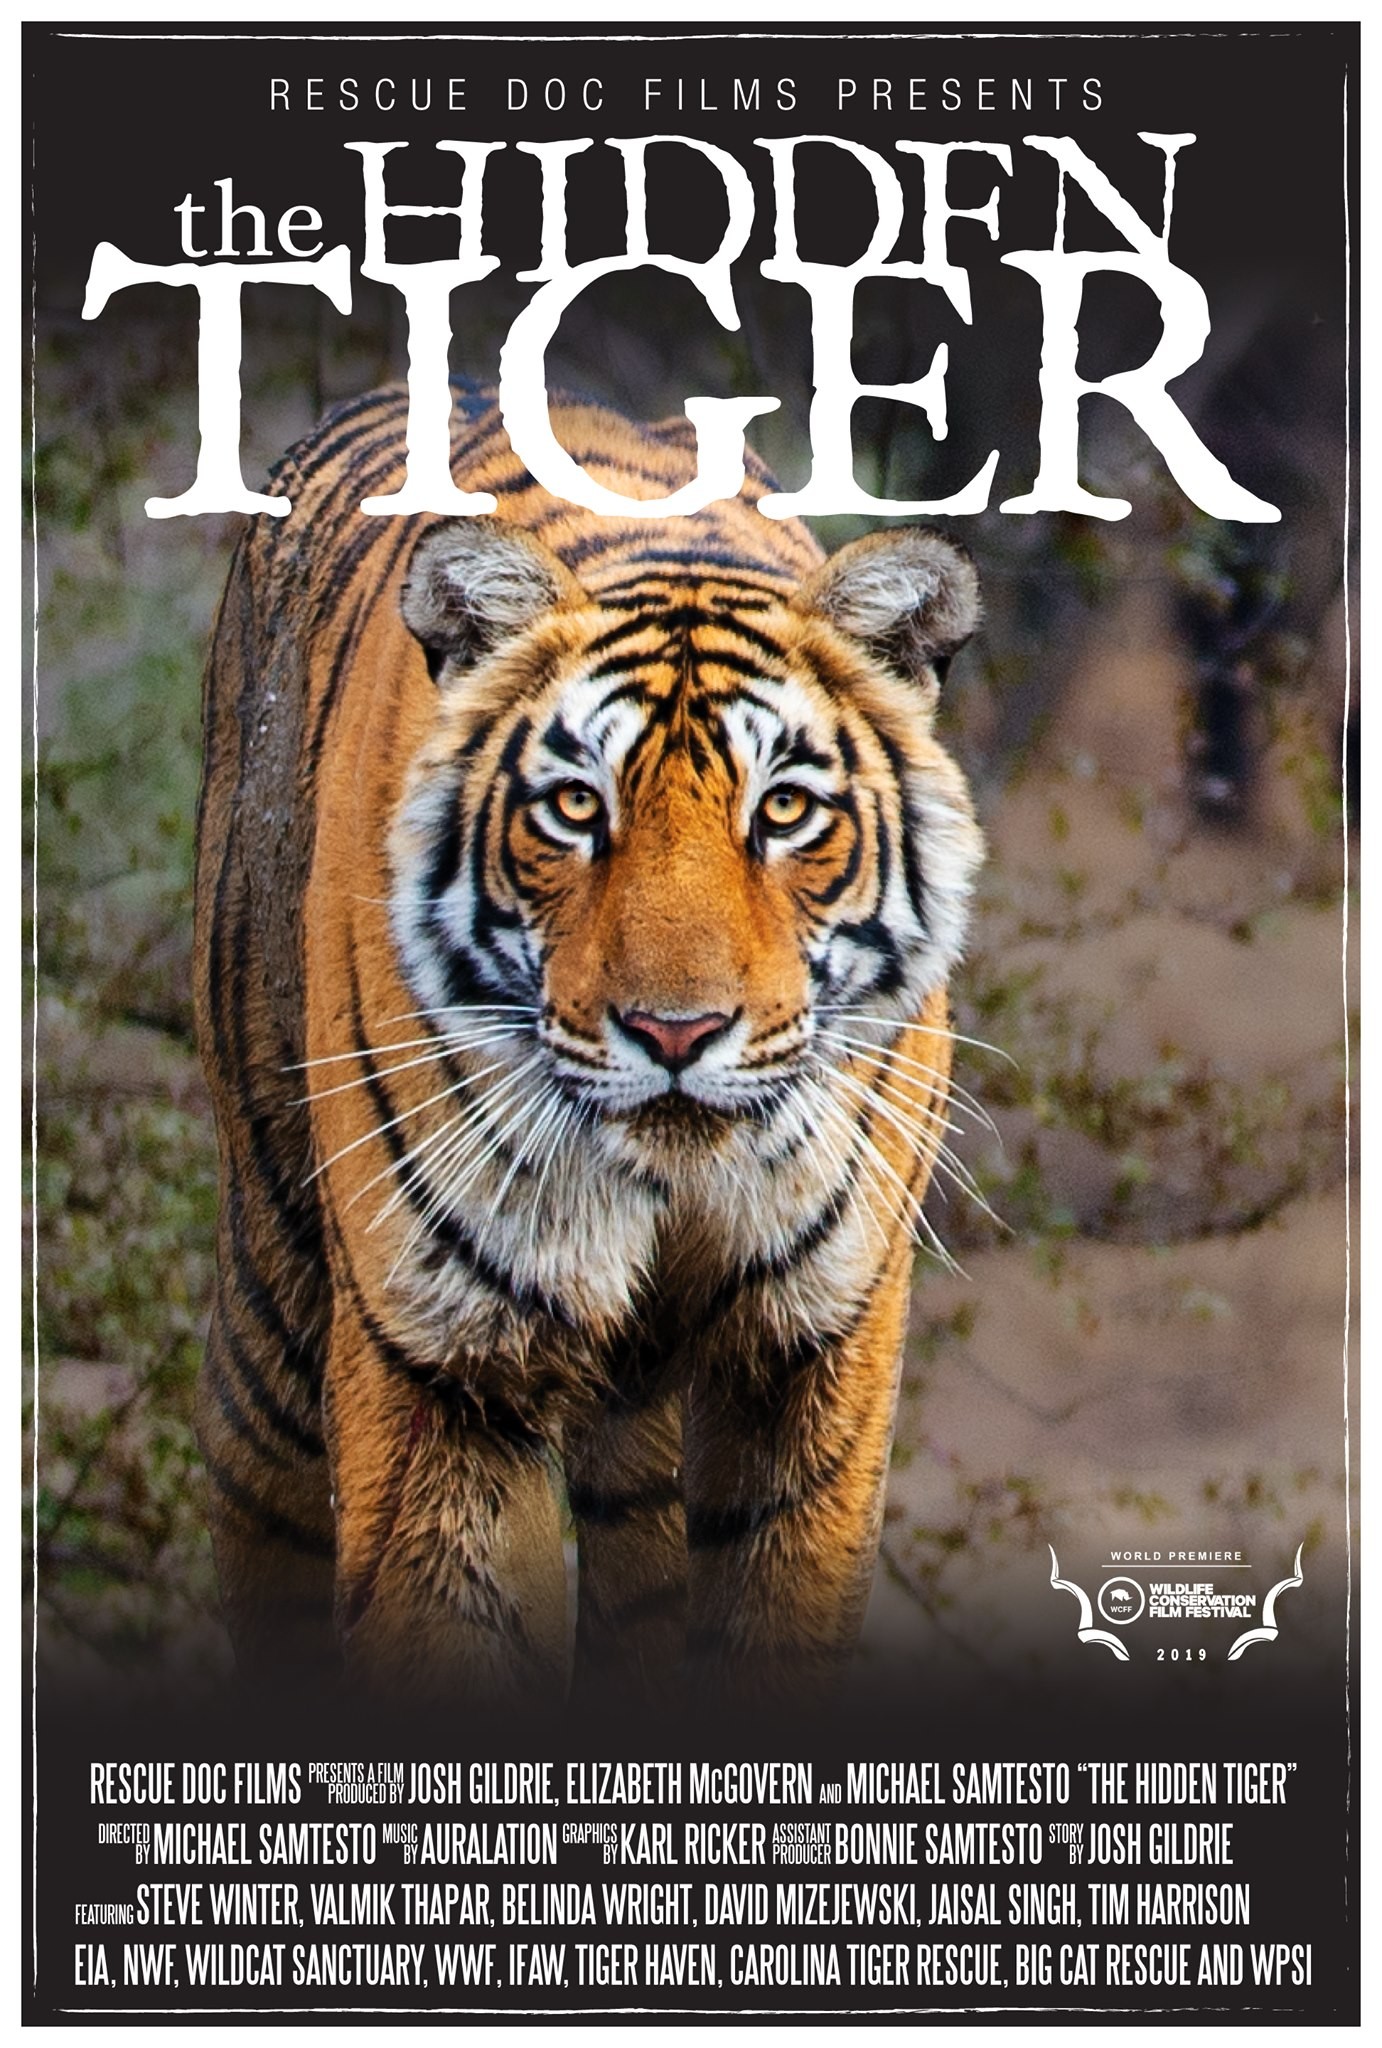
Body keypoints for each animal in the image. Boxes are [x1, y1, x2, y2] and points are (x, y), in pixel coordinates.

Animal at [193, 381, 984, 1701]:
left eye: (783, 809)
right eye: (573, 807)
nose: (676, 1030)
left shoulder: (814, 1342)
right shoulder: (446, 1364)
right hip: (275, 1288)